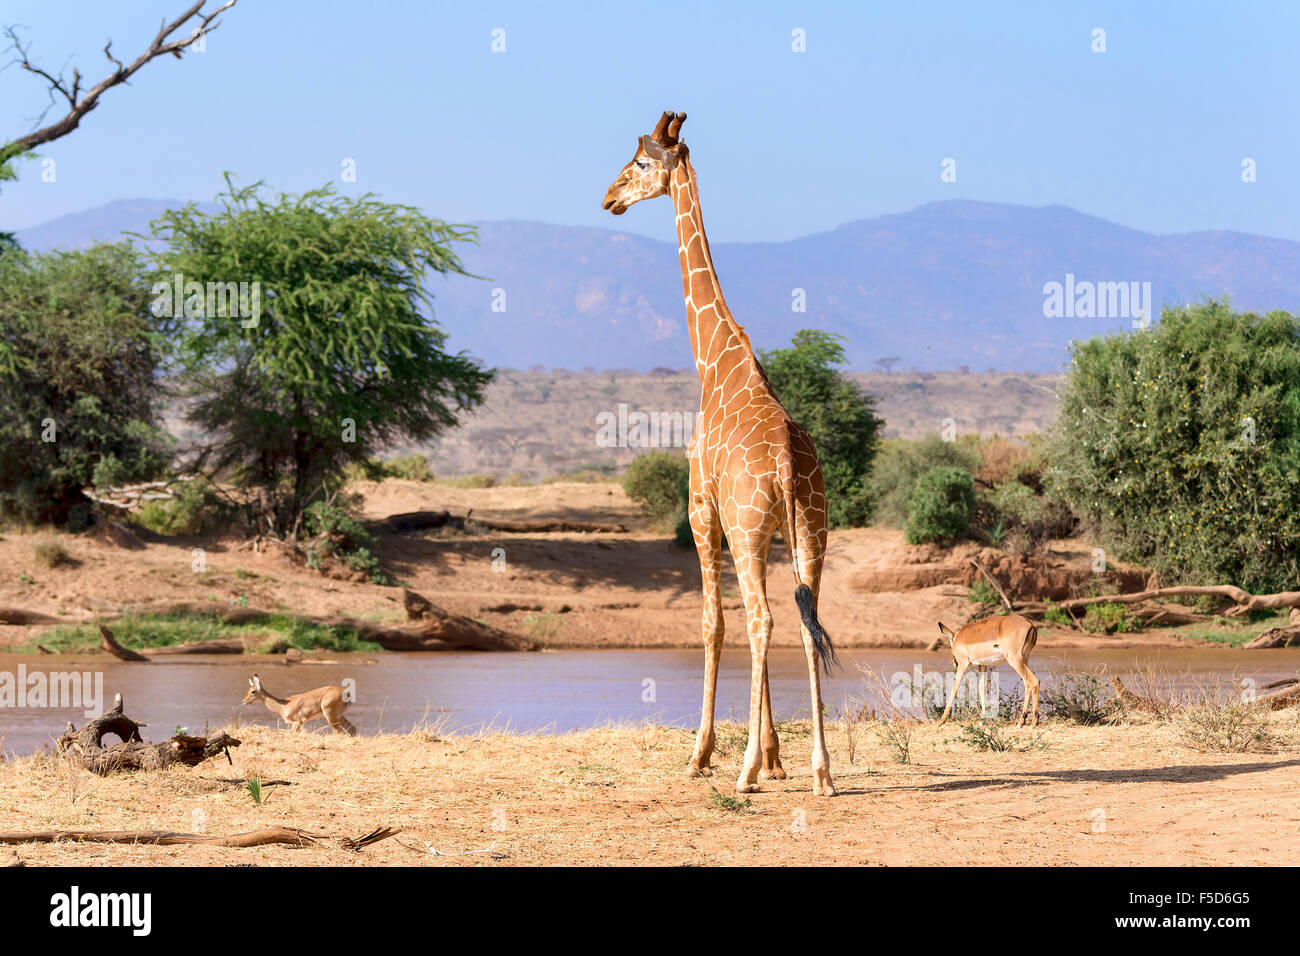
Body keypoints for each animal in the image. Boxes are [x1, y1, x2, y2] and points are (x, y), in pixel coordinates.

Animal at [603, 110, 839, 796]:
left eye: (640, 163)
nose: (609, 197)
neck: (715, 359)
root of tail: (786, 462)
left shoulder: (702, 510)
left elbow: (713, 624)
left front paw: (704, 753)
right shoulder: (755, 529)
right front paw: (781, 758)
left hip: (746, 528)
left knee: (761, 619)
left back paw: (742, 771)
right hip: (810, 530)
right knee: (807, 622)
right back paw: (822, 771)